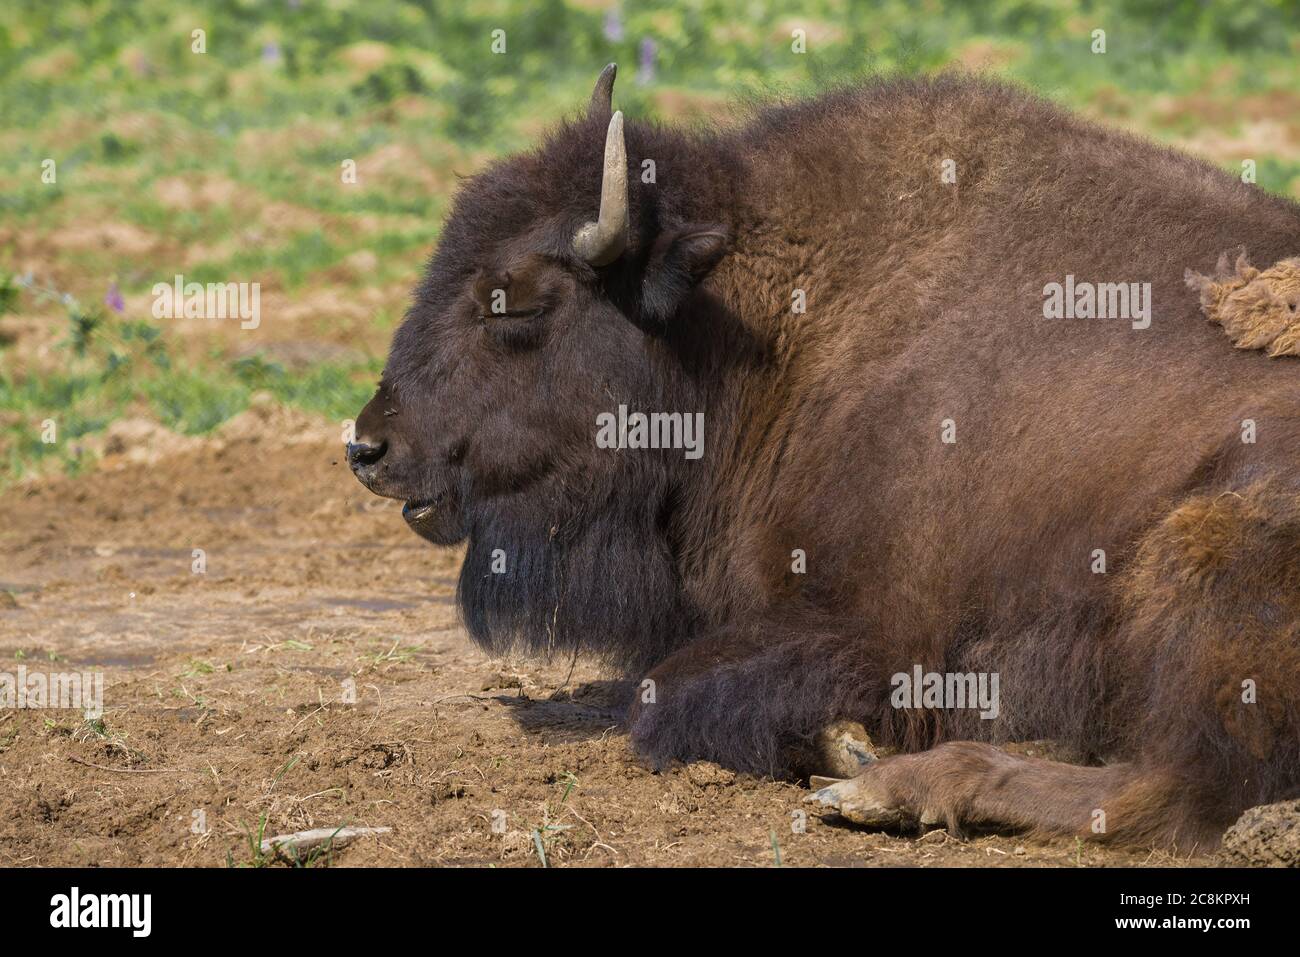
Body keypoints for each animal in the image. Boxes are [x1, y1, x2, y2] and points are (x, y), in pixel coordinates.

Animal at [350, 65, 1300, 852]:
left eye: (514, 300)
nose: (369, 446)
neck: (772, 327)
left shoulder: (871, 626)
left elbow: (667, 693)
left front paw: (849, 747)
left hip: (1204, 553)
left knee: (1173, 794)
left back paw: (895, 787)